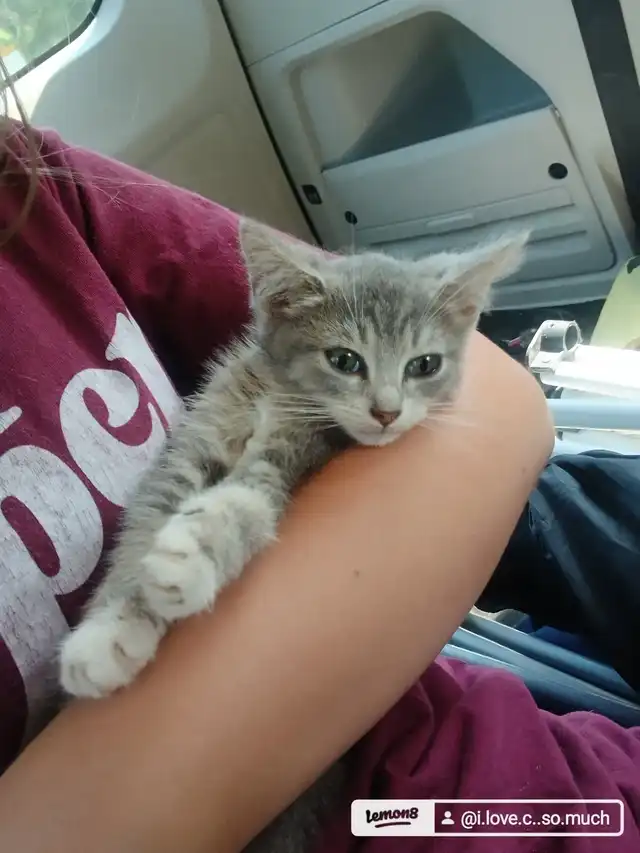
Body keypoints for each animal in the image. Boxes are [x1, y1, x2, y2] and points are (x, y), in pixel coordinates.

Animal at [59, 217, 527, 850]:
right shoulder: (194, 443)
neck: (276, 397)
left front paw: (190, 553)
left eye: (424, 365)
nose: (387, 412)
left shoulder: (297, 460)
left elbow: (246, 506)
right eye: (345, 360)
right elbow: (143, 525)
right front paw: (109, 632)